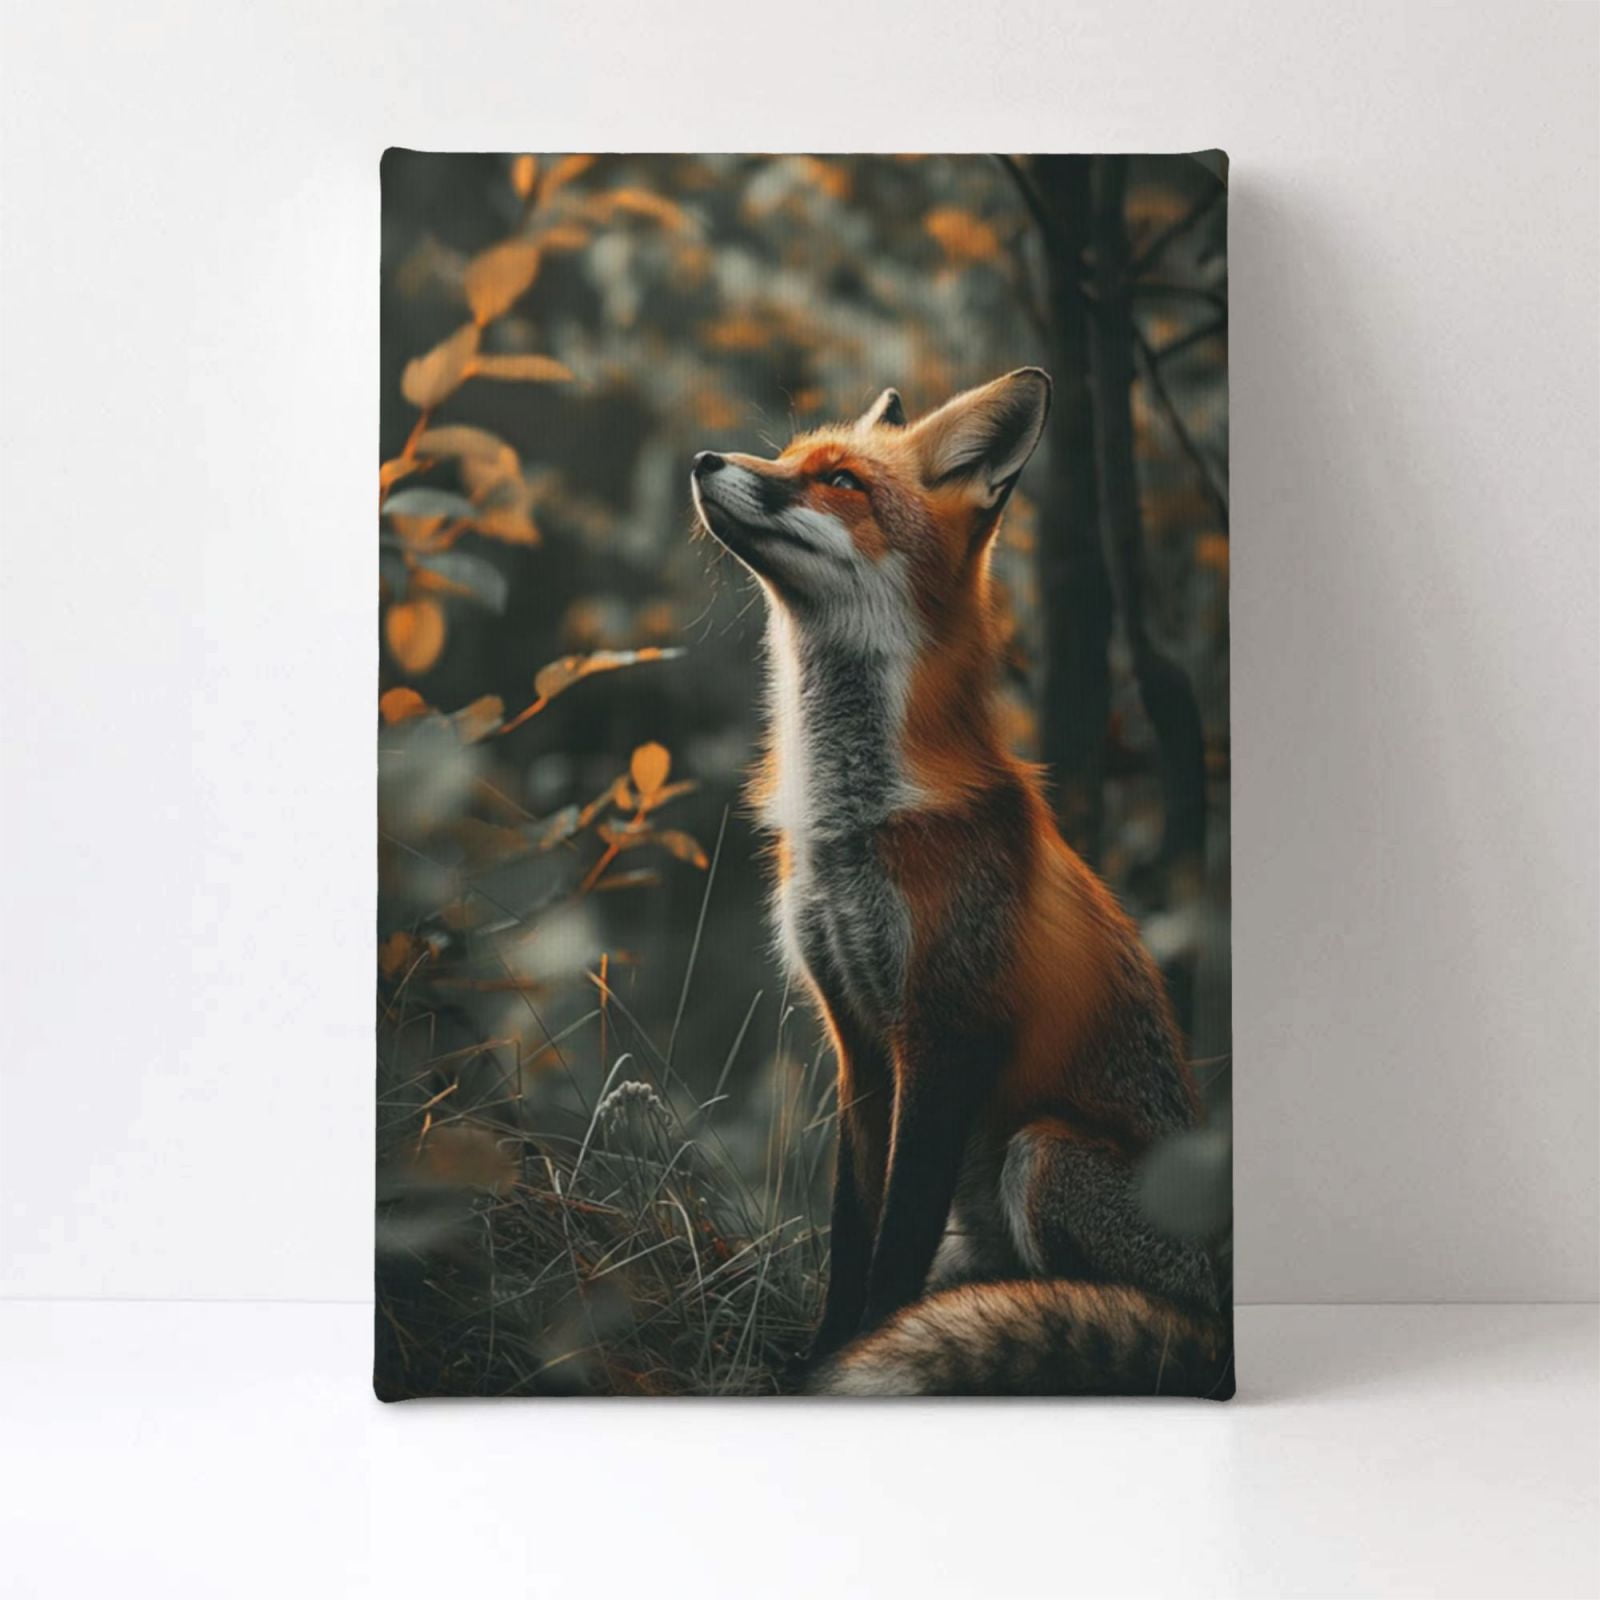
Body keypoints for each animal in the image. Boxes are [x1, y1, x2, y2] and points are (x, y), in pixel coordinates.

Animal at [690, 369, 1230, 1397]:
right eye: (787, 457)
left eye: (841, 481)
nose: (703, 458)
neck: (853, 818)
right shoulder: (860, 1036)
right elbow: (853, 1231)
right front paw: (826, 1350)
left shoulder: (946, 1031)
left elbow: (896, 1241)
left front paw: (862, 1353)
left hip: (1043, 1156)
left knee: (1129, 1317)